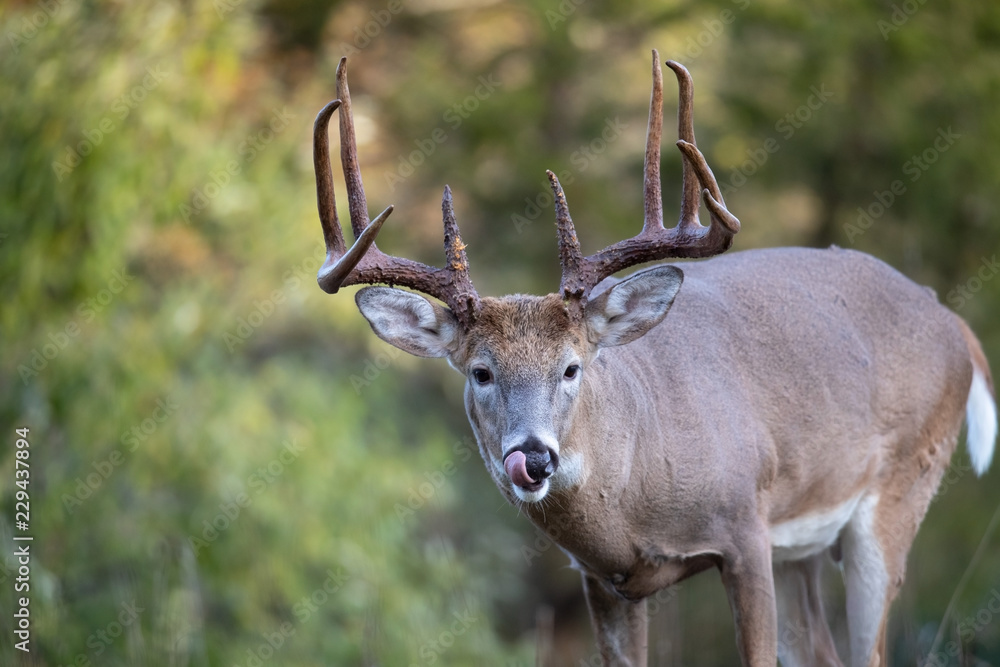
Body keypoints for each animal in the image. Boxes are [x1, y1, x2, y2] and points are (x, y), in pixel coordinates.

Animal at [309, 52, 997, 666]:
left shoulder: (746, 528)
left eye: (572, 366)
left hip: (901, 488)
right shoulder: (604, 580)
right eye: (482, 372)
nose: (534, 457)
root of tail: (955, 323)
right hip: (802, 547)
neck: (634, 502)